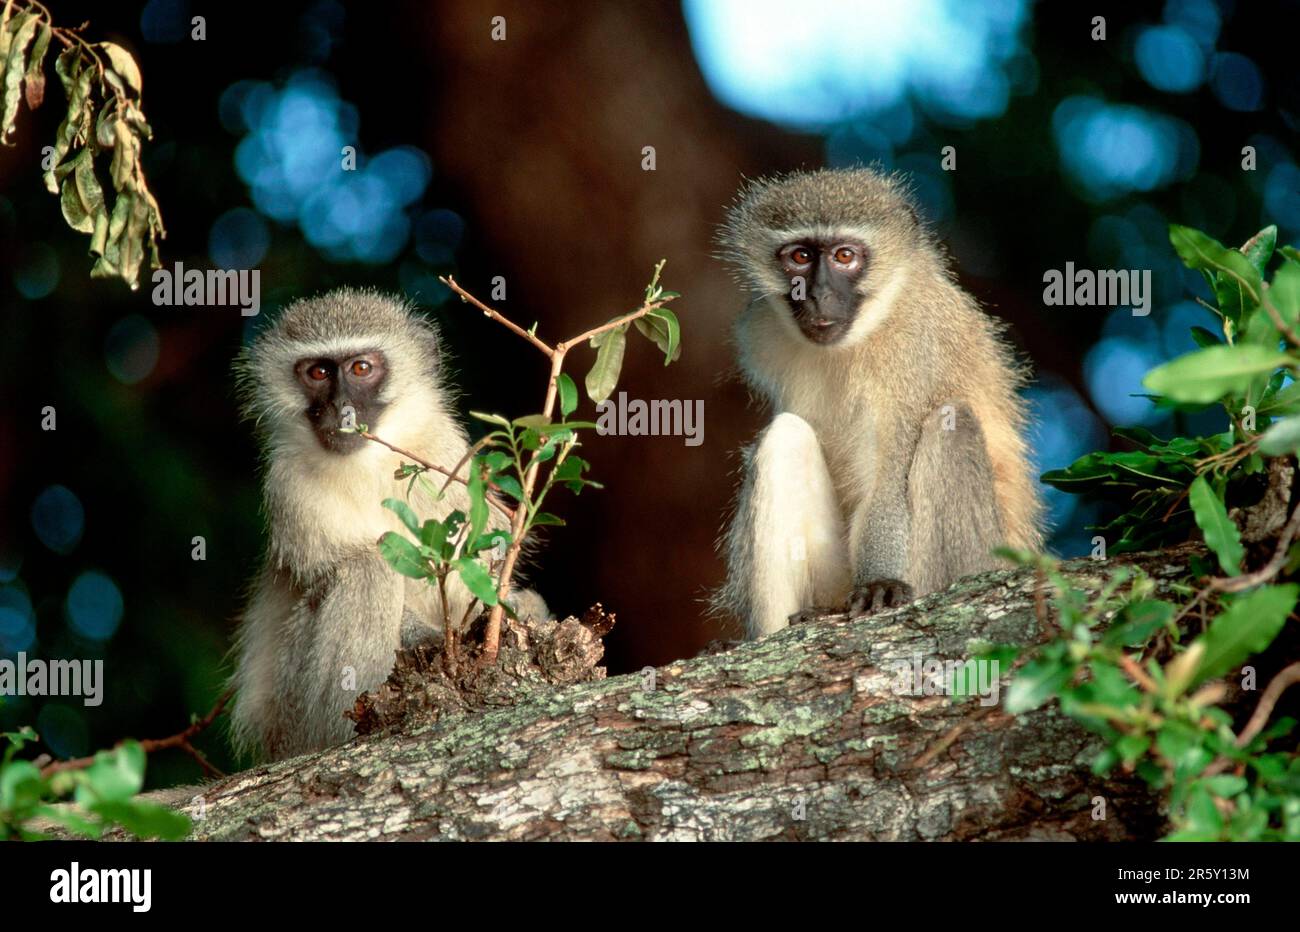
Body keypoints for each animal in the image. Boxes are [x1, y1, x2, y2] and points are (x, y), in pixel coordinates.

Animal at [229, 288, 547, 761]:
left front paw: (514, 610)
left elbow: (470, 574)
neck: (369, 464)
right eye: (318, 372)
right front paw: (427, 637)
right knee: (367, 568)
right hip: (293, 712)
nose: (340, 410)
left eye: (361, 368)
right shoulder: (288, 487)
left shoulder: (447, 459)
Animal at [713, 168, 1044, 640]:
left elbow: (888, 480)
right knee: (786, 436)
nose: (818, 295)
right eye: (799, 257)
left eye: (845, 256)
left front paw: (880, 582)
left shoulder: (914, 349)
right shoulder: (761, 335)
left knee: (952, 425)